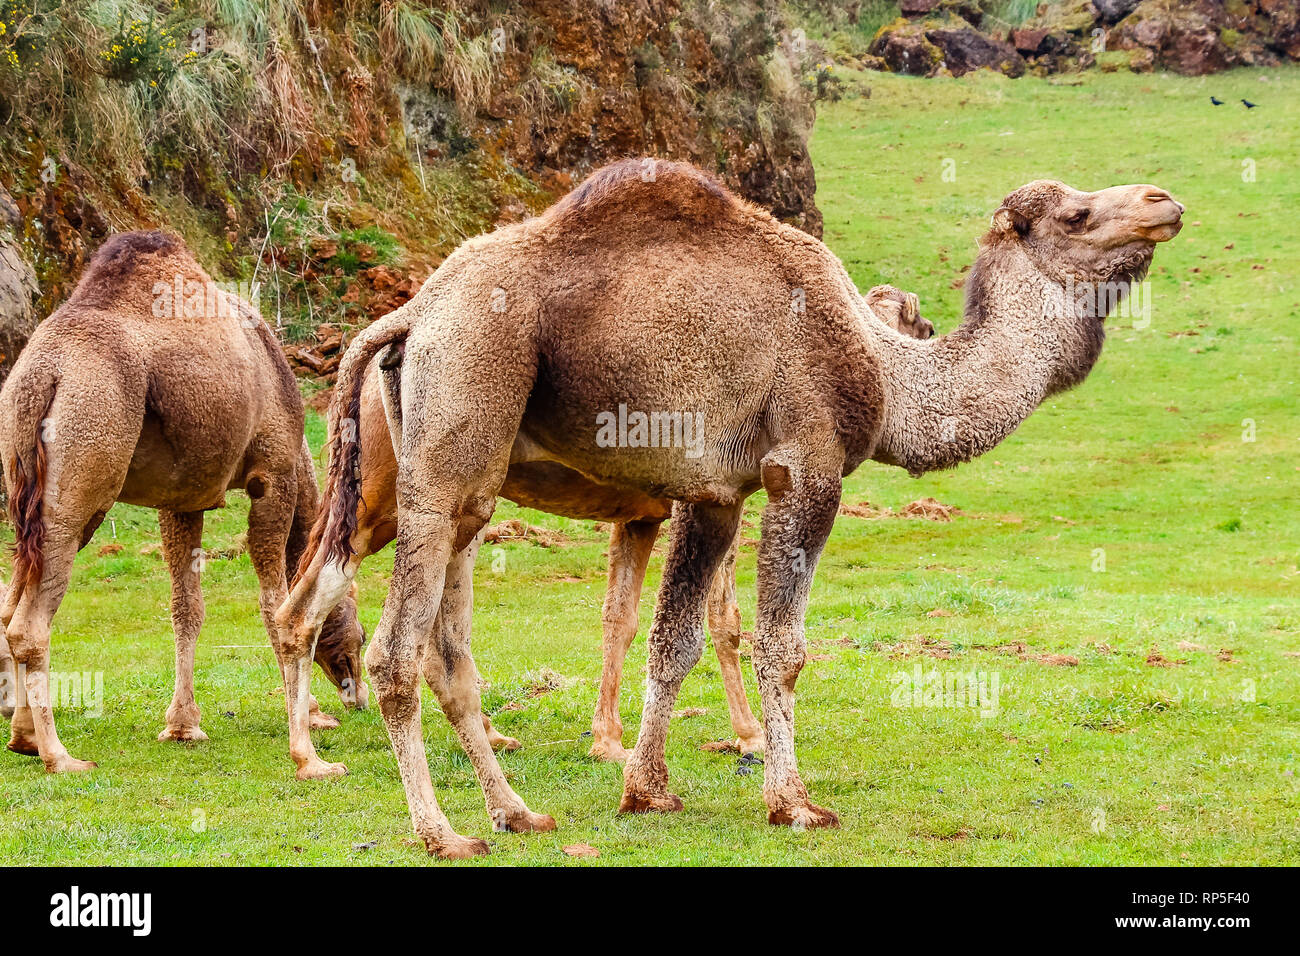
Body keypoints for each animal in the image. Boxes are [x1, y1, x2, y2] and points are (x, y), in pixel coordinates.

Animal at [0, 231, 365, 773]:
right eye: (356, 620)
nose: (357, 692)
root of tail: (44, 373)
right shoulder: (273, 474)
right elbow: (272, 601)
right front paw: (312, 726)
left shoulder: (182, 499)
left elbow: (185, 607)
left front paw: (183, 725)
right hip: (85, 467)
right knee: (29, 624)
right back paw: (59, 756)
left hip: (23, 481)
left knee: (9, 604)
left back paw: (22, 736)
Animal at [286, 283, 932, 765]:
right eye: (914, 319)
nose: (927, 331)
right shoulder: (711, 494)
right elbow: (722, 619)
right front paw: (747, 734)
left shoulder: (642, 516)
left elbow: (620, 619)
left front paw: (608, 740)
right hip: (384, 501)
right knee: (308, 603)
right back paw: (311, 752)